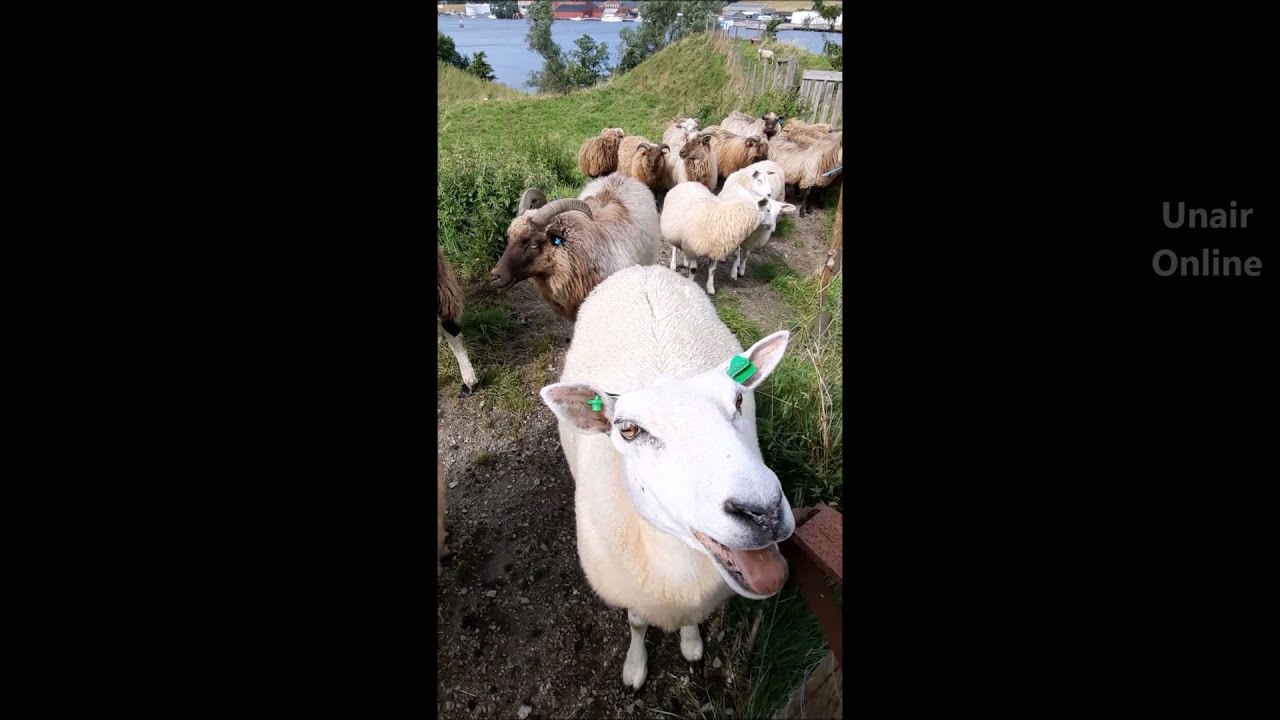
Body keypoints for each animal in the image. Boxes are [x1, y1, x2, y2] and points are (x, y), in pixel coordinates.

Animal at [538, 264, 796, 692]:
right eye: (628, 430)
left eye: (739, 400)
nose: (764, 512)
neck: (678, 568)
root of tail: (642, 269)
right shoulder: (634, 593)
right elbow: (637, 623)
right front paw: (635, 666)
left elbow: (692, 624)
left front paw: (691, 645)